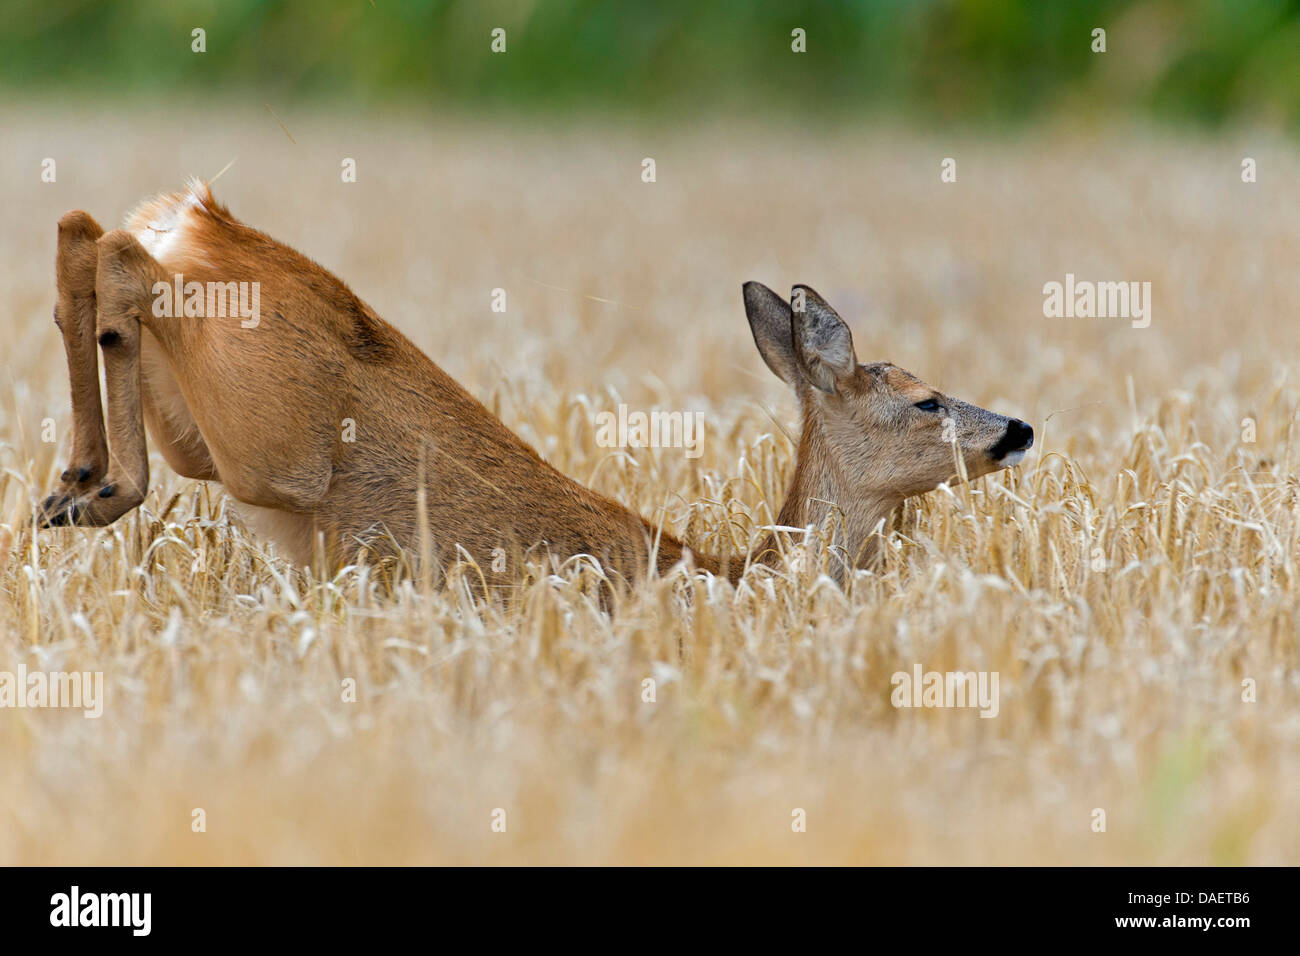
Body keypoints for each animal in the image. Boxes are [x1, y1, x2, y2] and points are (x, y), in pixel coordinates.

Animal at [36, 181, 1033, 587]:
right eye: (926, 401)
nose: (1019, 429)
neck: (732, 578)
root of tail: (201, 219)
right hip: (267, 444)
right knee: (117, 253)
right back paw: (96, 487)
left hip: (204, 430)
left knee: (86, 228)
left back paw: (75, 485)